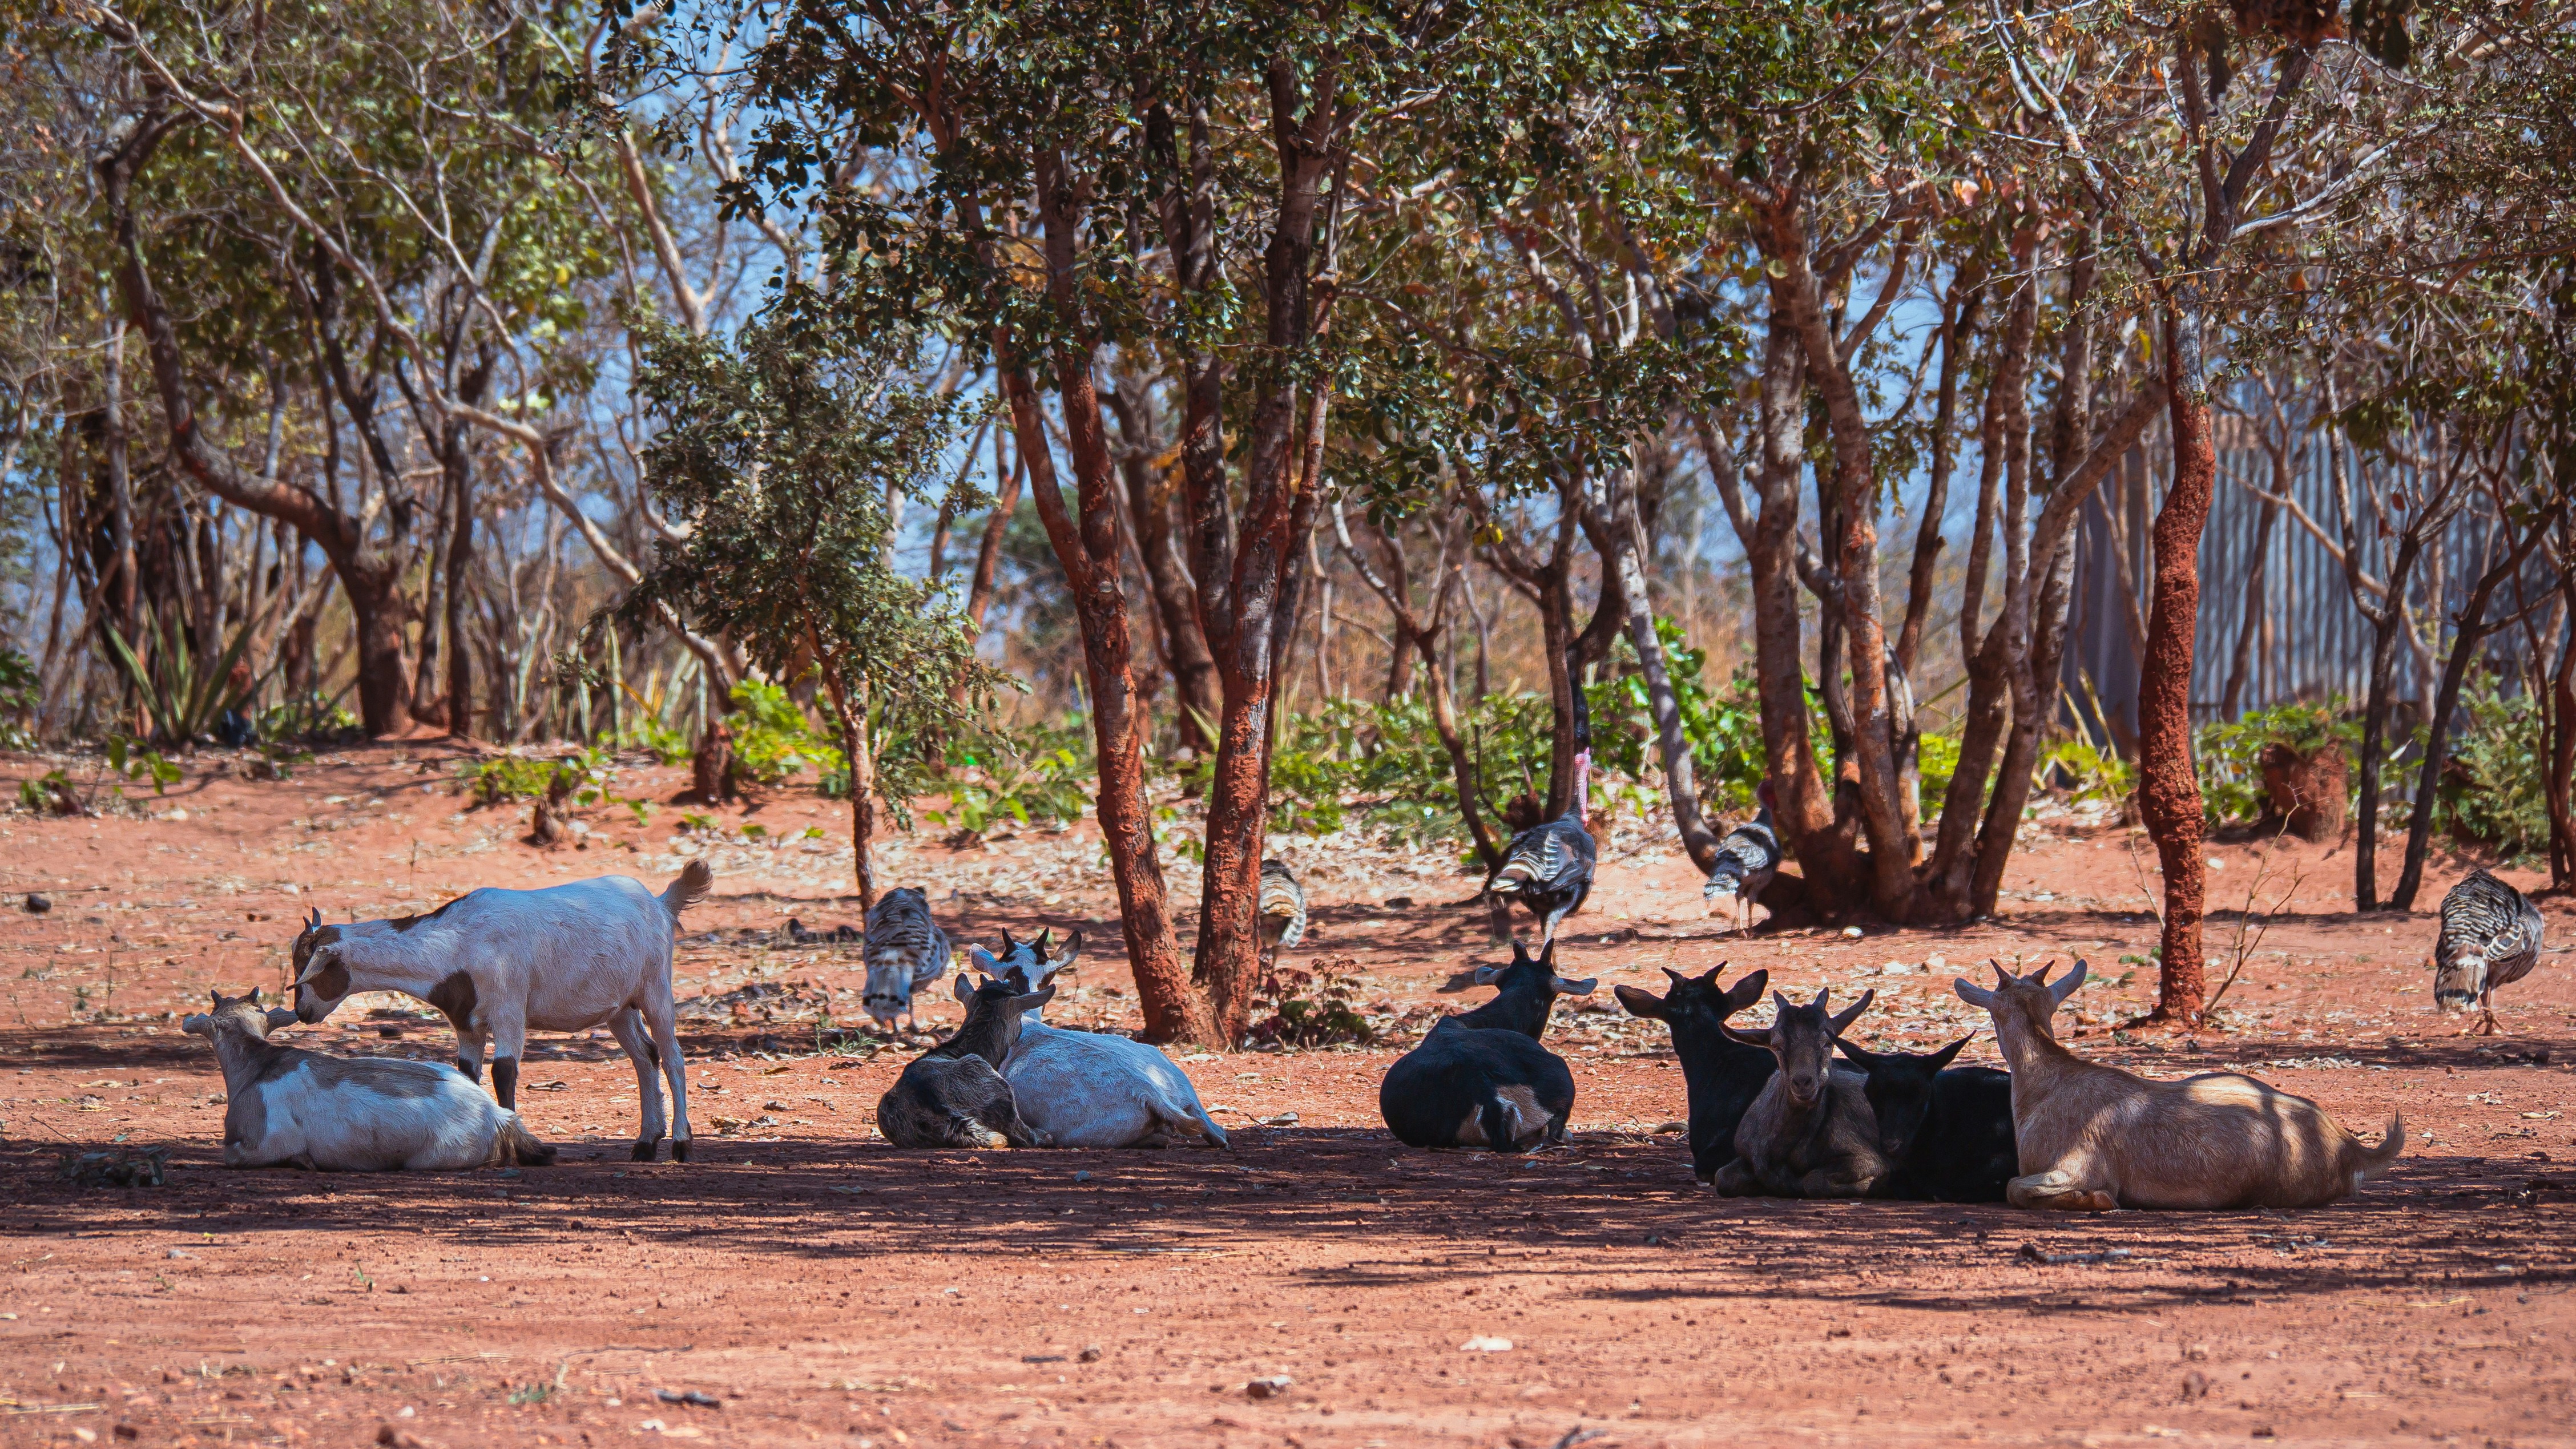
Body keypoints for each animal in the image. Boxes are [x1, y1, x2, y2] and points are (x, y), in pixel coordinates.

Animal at [289, 859, 711, 1162]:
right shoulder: (466, 1023)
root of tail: (660, 904)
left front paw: (517, 1147)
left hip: (655, 987)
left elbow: (503, 1072)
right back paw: (646, 1143)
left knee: (672, 1056)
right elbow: (468, 1074)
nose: (303, 1011)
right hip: (620, 1007)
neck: (459, 940)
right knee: (645, 1056)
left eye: (307, 966)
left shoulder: (509, 1008)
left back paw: (681, 1144)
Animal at [1712, 988, 1888, 1198]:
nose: (1803, 1082)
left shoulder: (1867, 1157)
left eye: (1827, 1043)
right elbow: (1722, 1178)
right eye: (1777, 1046)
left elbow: (1813, 1181)